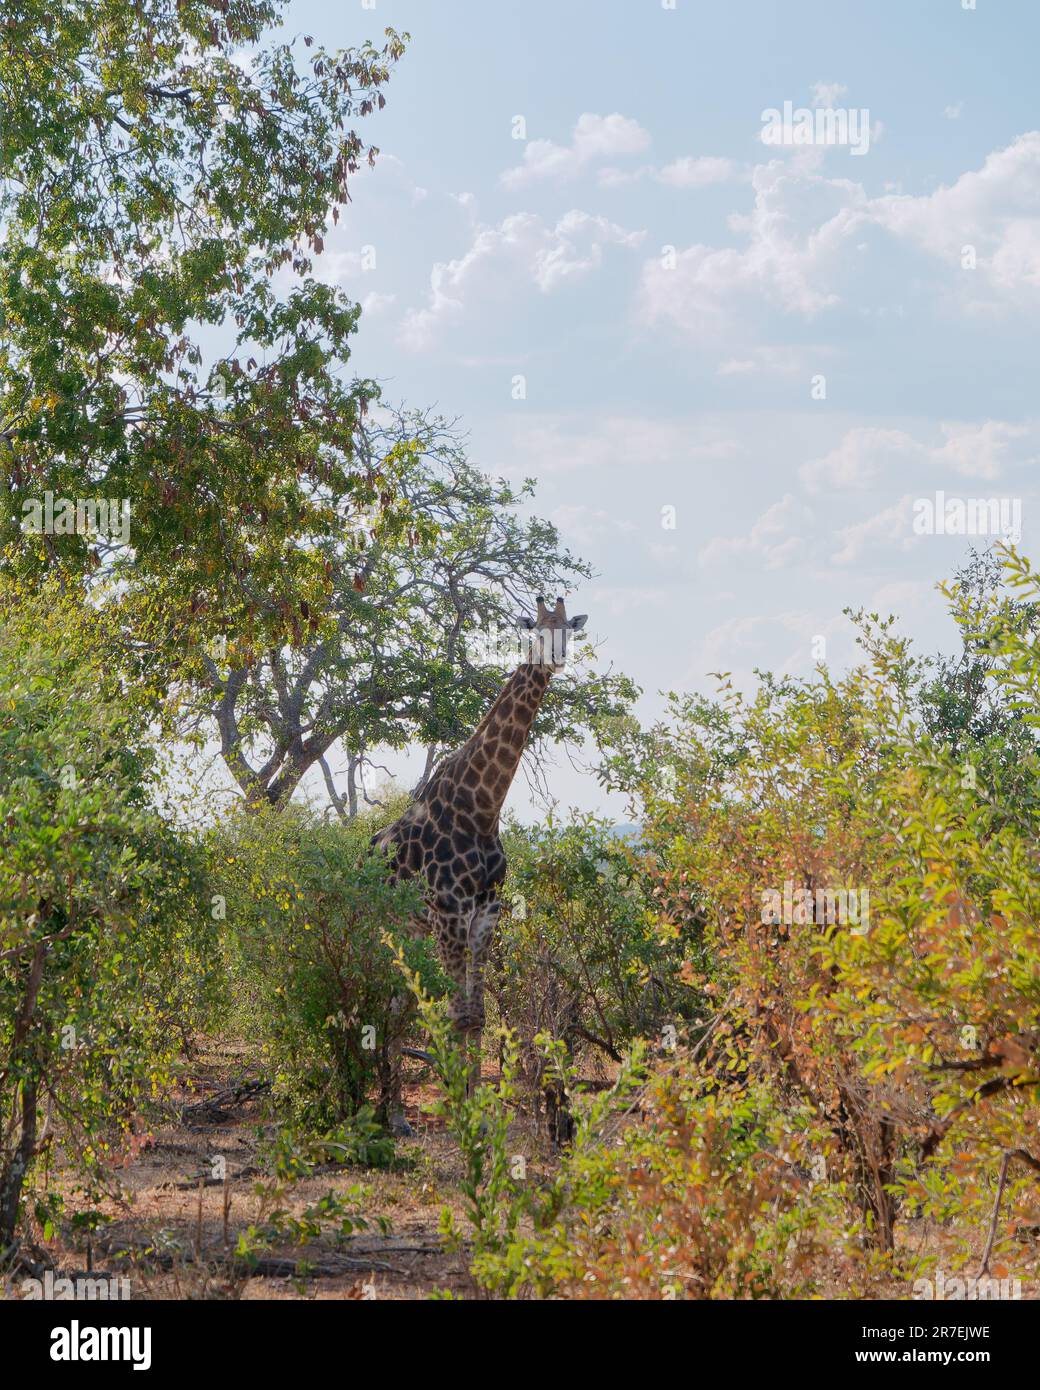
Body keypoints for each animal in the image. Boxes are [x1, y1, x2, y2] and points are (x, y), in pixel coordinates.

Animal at [371, 595, 587, 1119]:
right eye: (536, 631)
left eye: (568, 630)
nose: (554, 659)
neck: (483, 809)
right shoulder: (451, 913)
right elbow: (456, 1014)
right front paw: (458, 1108)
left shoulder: (486, 913)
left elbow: (477, 1015)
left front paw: (477, 1106)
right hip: (384, 927)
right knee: (384, 1005)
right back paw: (390, 1111)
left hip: (411, 930)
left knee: (395, 1006)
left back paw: (396, 1112)